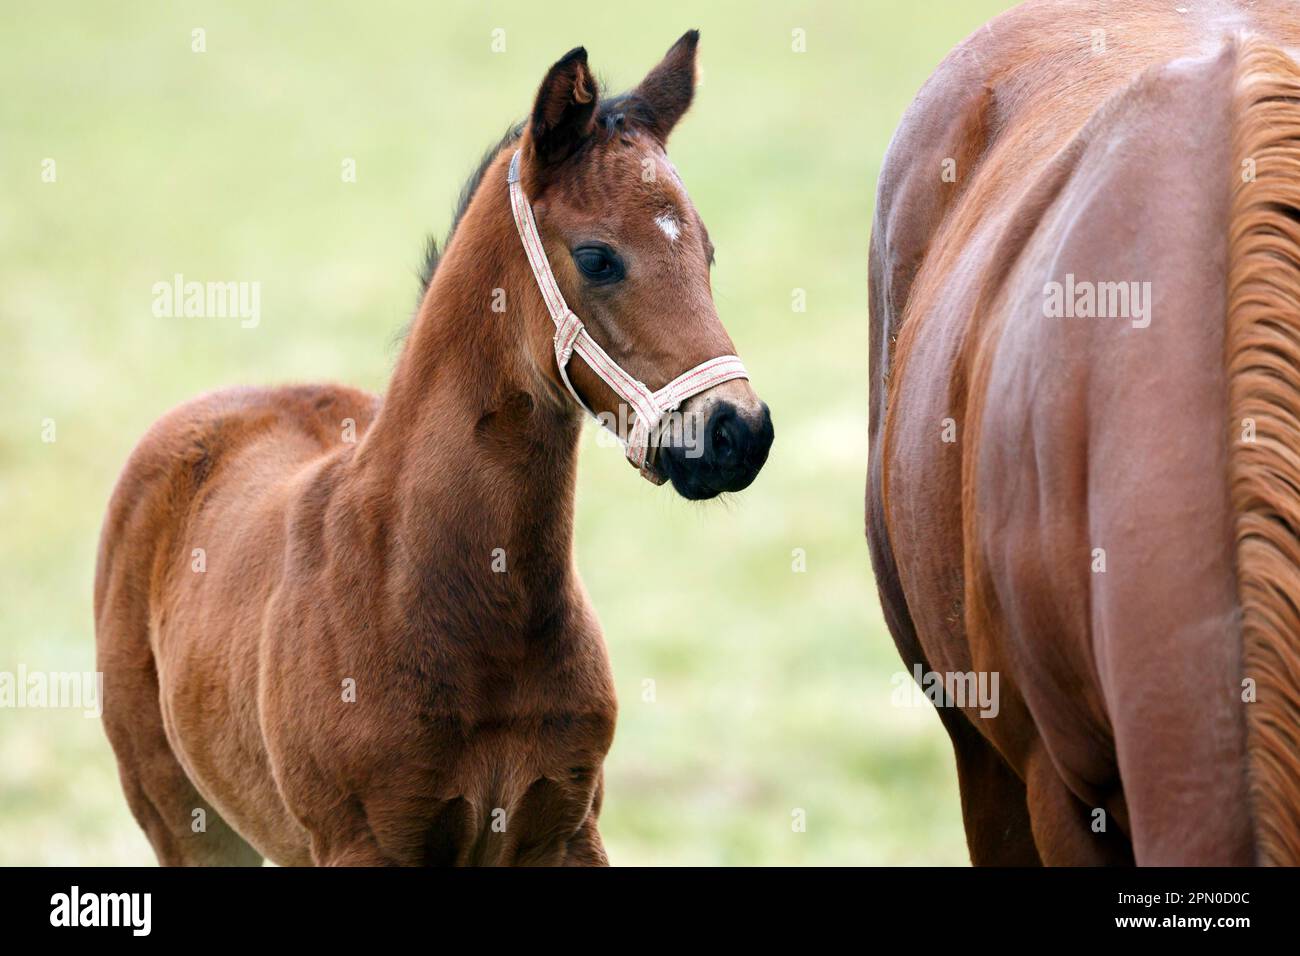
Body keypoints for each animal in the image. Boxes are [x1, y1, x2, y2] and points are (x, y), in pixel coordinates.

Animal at [94, 30, 773, 867]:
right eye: (598, 257)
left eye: (706, 252)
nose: (739, 432)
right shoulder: (363, 845)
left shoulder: (567, 831)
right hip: (181, 817)